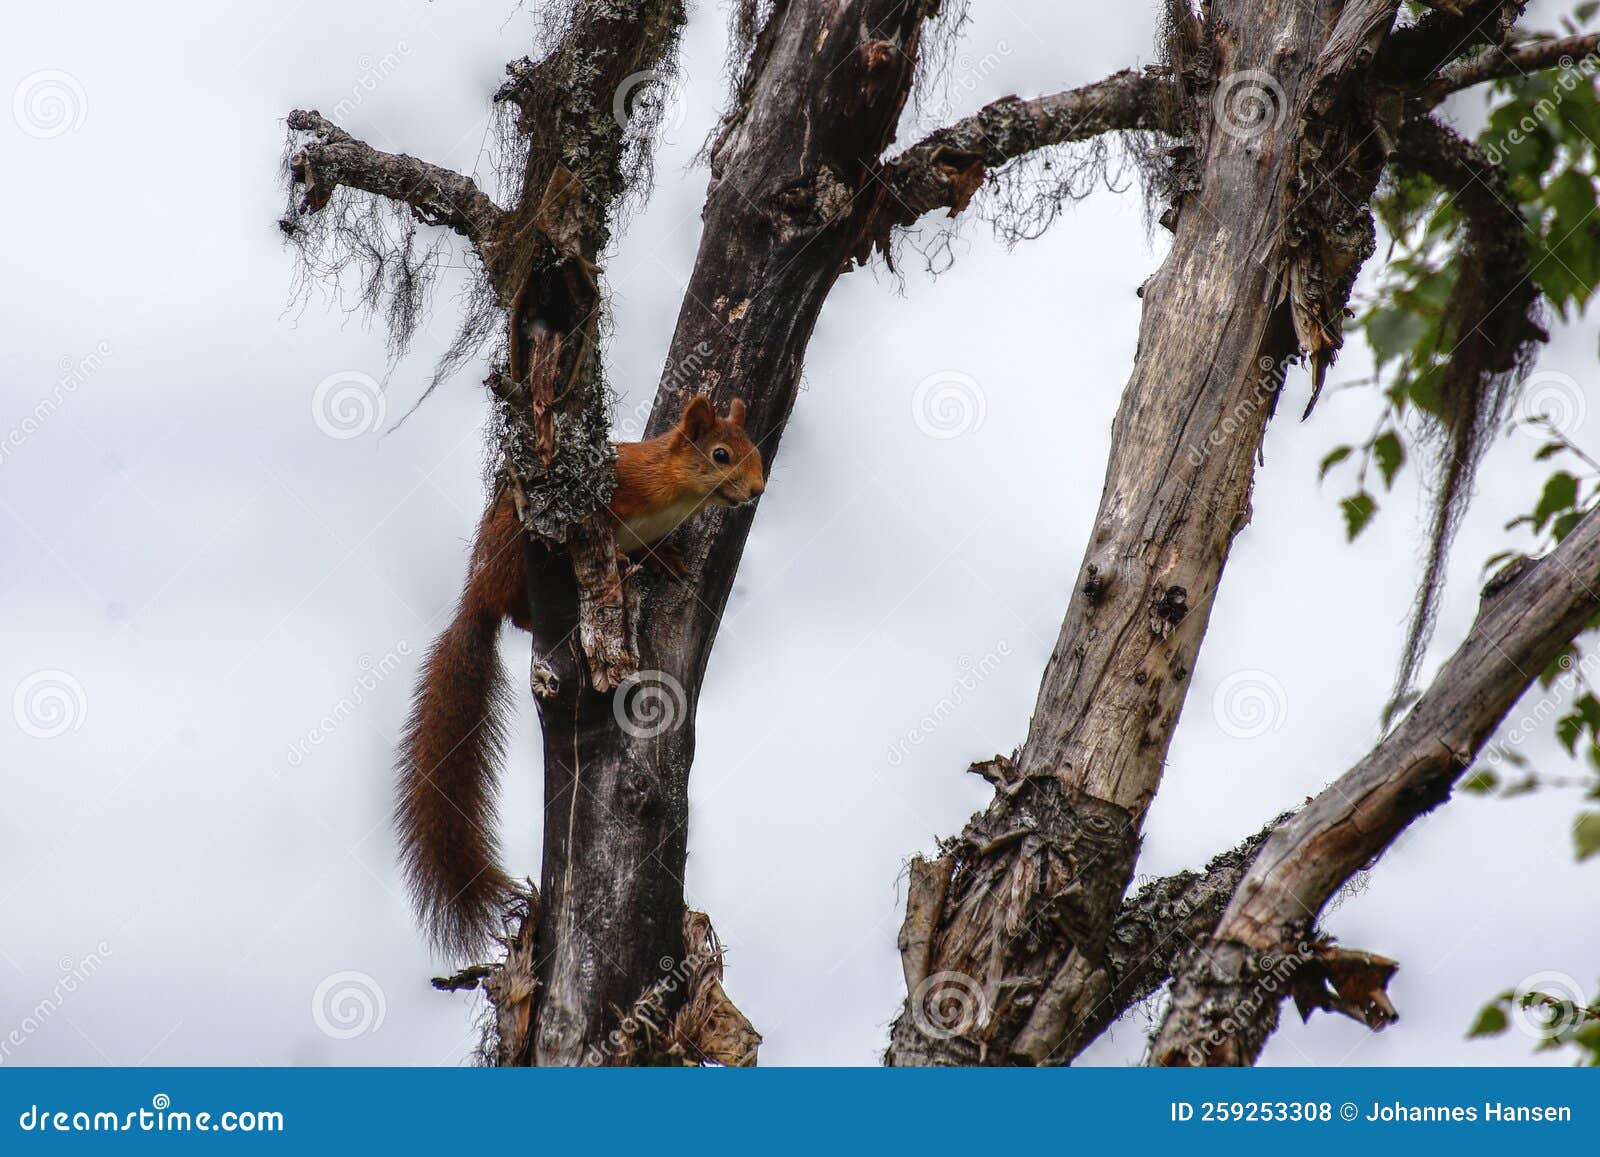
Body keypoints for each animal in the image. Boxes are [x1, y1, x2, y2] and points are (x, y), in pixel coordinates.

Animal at [395, 394, 765, 959]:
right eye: (721, 454)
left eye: (757, 453)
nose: (757, 490)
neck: (674, 494)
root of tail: (477, 595)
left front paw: (664, 556)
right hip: (515, 560)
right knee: (518, 614)